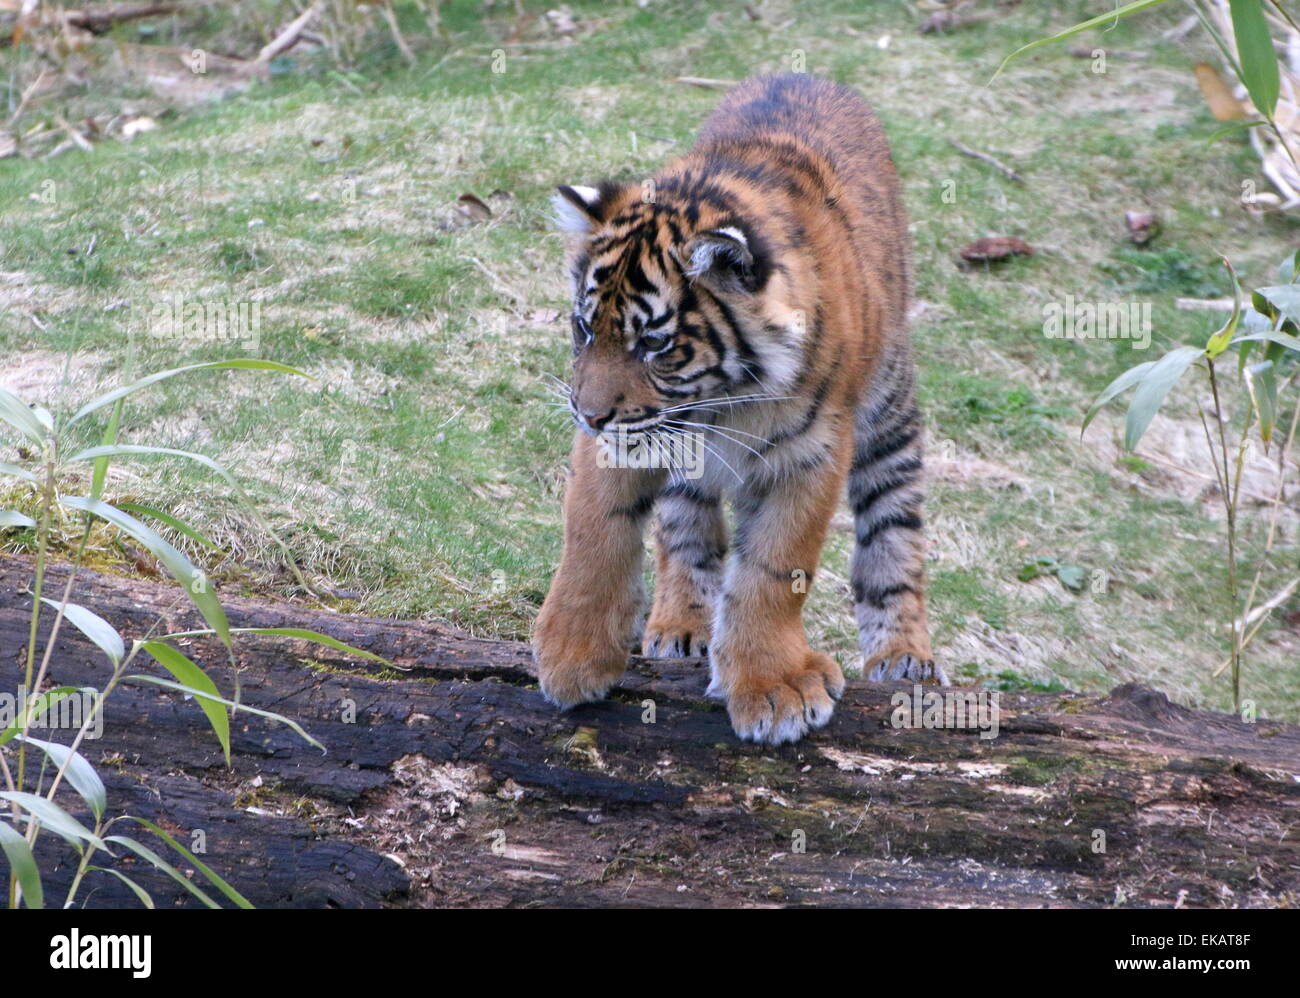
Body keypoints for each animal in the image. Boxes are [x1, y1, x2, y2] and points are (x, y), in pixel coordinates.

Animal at [533, 73, 948, 747]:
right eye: (584, 327)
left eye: (655, 343)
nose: (587, 416)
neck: (717, 403)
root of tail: (806, 74)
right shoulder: (628, 437)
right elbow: (594, 531)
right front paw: (571, 655)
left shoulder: (810, 454)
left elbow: (774, 570)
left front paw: (773, 688)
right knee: (685, 525)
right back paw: (682, 626)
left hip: (889, 415)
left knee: (894, 530)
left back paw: (904, 657)